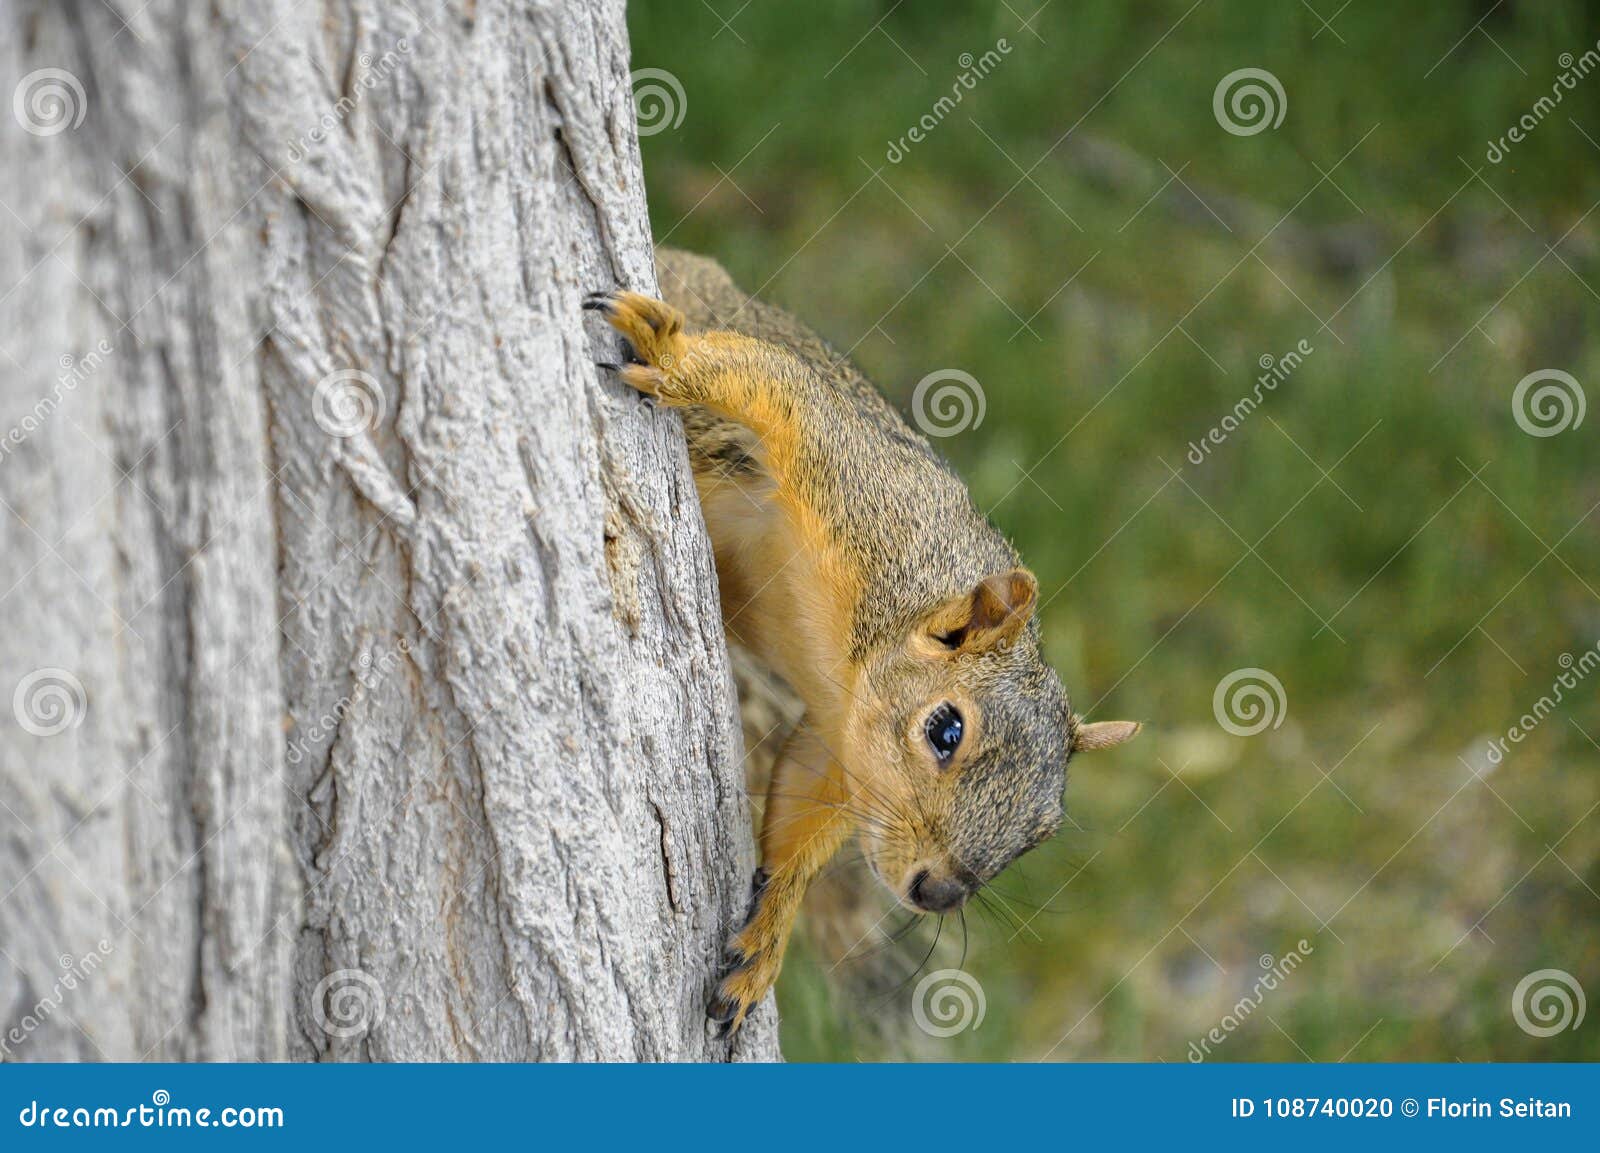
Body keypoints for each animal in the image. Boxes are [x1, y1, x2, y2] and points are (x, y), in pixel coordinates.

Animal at [585, 248, 1141, 1035]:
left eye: (1043, 834)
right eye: (945, 729)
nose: (938, 892)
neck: (844, 656)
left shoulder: (834, 734)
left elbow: (799, 814)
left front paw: (770, 932)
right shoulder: (858, 484)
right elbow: (775, 391)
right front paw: (668, 356)